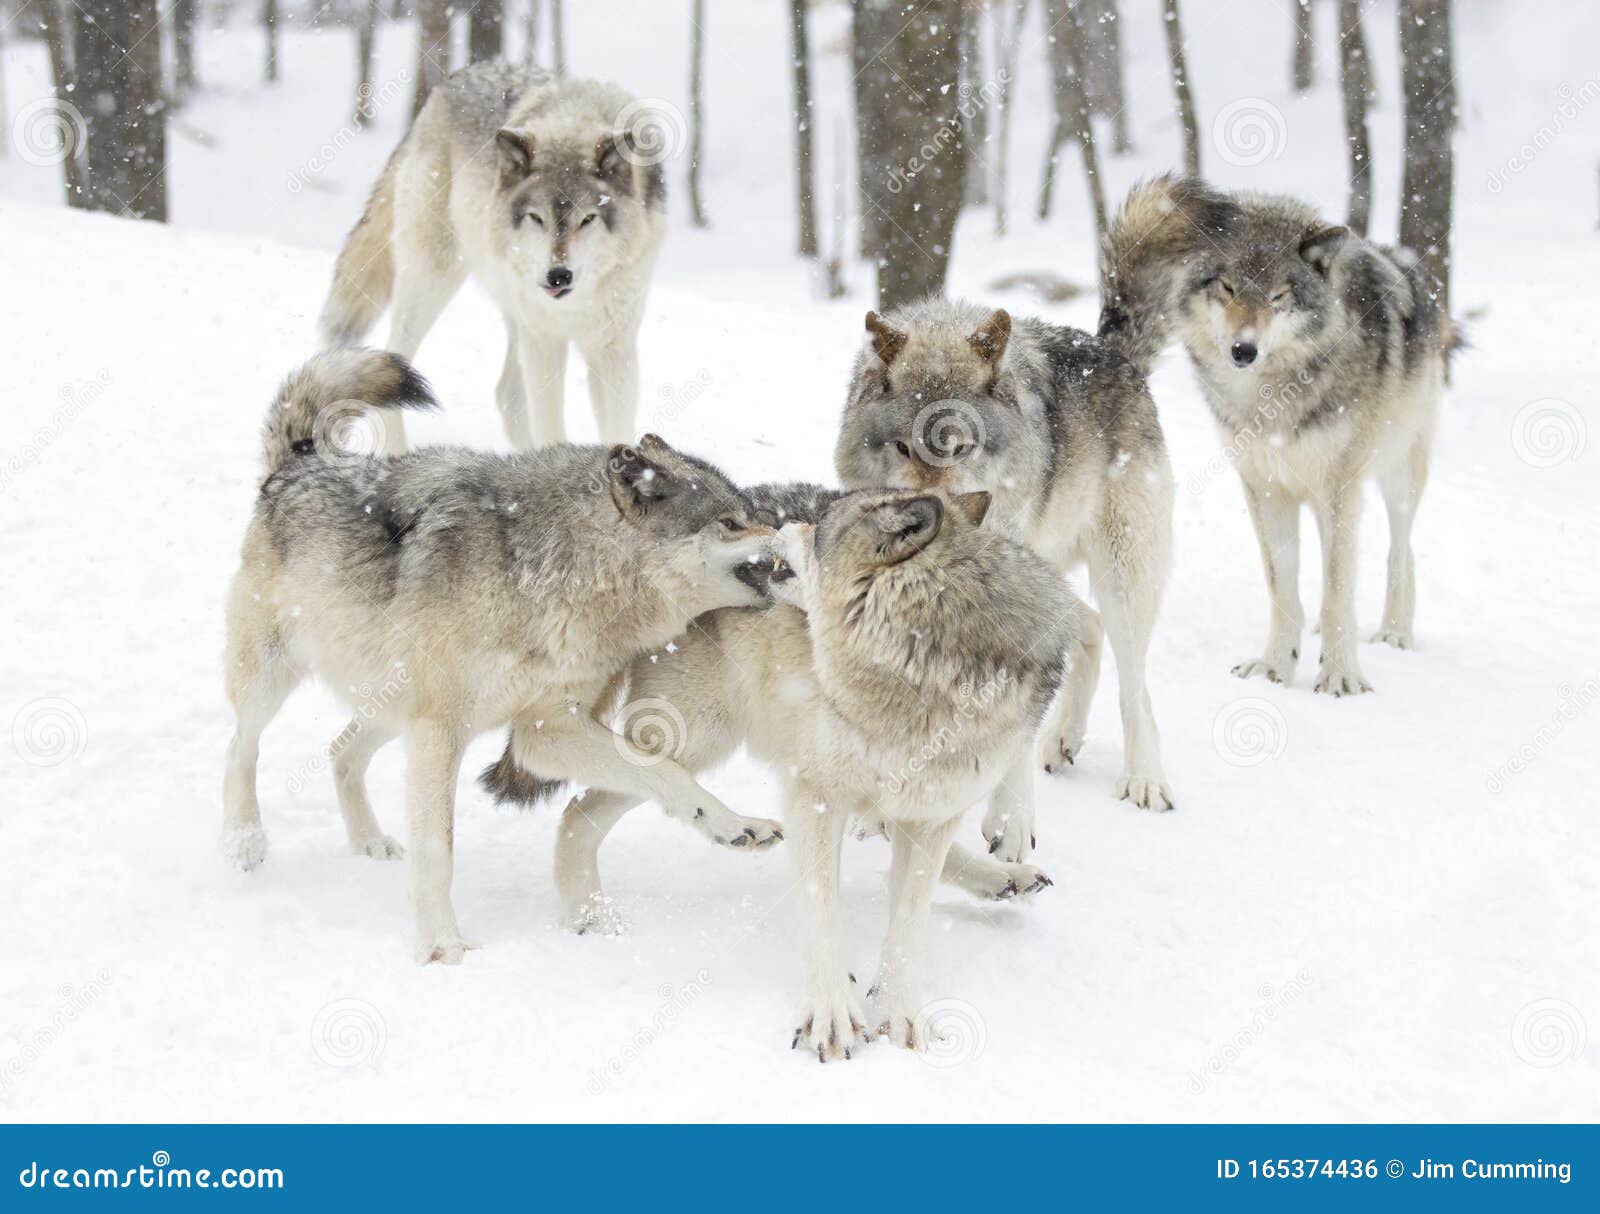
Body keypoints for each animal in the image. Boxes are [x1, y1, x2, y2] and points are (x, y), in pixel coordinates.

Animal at [220, 349, 785, 964]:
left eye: (755, 514)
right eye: (731, 523)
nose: (795, 528)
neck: (556, 573)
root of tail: (298, 464)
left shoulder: (545, 731)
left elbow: (667, 771)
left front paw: (732, 824)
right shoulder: (441, 733)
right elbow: (438, 850)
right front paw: (442, 947)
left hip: (393, 710)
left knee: (341, 751)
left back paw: (369, 842)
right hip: (274, 681)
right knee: (240, 748)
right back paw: (244, 843)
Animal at [319, 61, 667, 453]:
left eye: (588, 219)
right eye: (537, 218)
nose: (558, 275)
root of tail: (449, 82)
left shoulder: (612, 348)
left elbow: (616, 430)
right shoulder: (544, 339)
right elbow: (550, 427)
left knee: (508, 396)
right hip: (432, 281)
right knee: (394, 360)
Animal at [492, 486, 1077, 1059]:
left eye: (820, 525)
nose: (785, 522)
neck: (922, 669)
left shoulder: (934, 811)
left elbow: (909, 923)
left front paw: (899, 1017)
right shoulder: (814, 795)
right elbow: (823, 910)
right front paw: (831, 1016)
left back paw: (1002, 877)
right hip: (696, 738)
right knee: (577, 800)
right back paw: (593, 911)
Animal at [834, 298, 1178, 855]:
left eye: (960, 447)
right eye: (904, 449)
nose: (931, 520)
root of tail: (1114, 352)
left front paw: (1012, 822)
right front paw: (883, 814)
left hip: (1121, 579)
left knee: (1135, 686)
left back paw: (1144, 779)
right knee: (1088, 629)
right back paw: (1062, 741)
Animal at [1101, 175, 1456, 694]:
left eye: (1278, 296)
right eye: (1228, 288)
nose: (1243, 350)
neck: (1271, 398)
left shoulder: (1339, 487)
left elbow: (1338, 589)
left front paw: (1341, 676)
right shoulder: (1265, 487)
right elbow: (1283, 586)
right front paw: (1275, 667)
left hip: (1398, 474)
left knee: (1399, 552)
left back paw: (1394, 633)